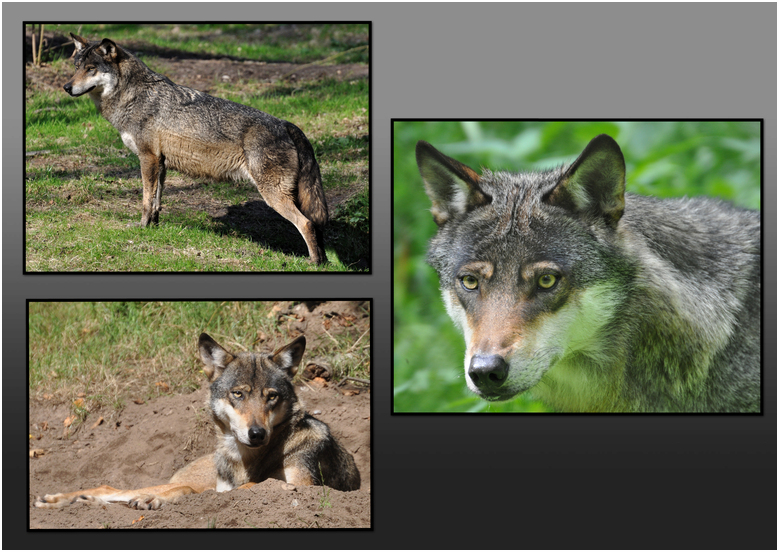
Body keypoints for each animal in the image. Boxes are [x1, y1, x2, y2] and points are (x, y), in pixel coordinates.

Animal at [34, 333, 360, 510]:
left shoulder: (301, 486)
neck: (245, 460)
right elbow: (222, 490)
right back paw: (58, 500)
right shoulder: (223, 489)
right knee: (111, 489)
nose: (257, 433)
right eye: (238, 394)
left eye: (272, 397)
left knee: (118, 494)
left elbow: (256, 486)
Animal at [63, 33, 329, 264]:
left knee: (305, 223)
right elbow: (157, 201)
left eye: (91, 69)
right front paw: (154, 228)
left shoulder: (147, 159)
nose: (66, 87)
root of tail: (287, 124)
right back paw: (324, 261)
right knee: (315, 225)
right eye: (76, 67)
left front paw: (141, 226)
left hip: (273, 196)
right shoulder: (160, 163)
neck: (134, 96)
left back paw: (313, 263)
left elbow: (146, 200)